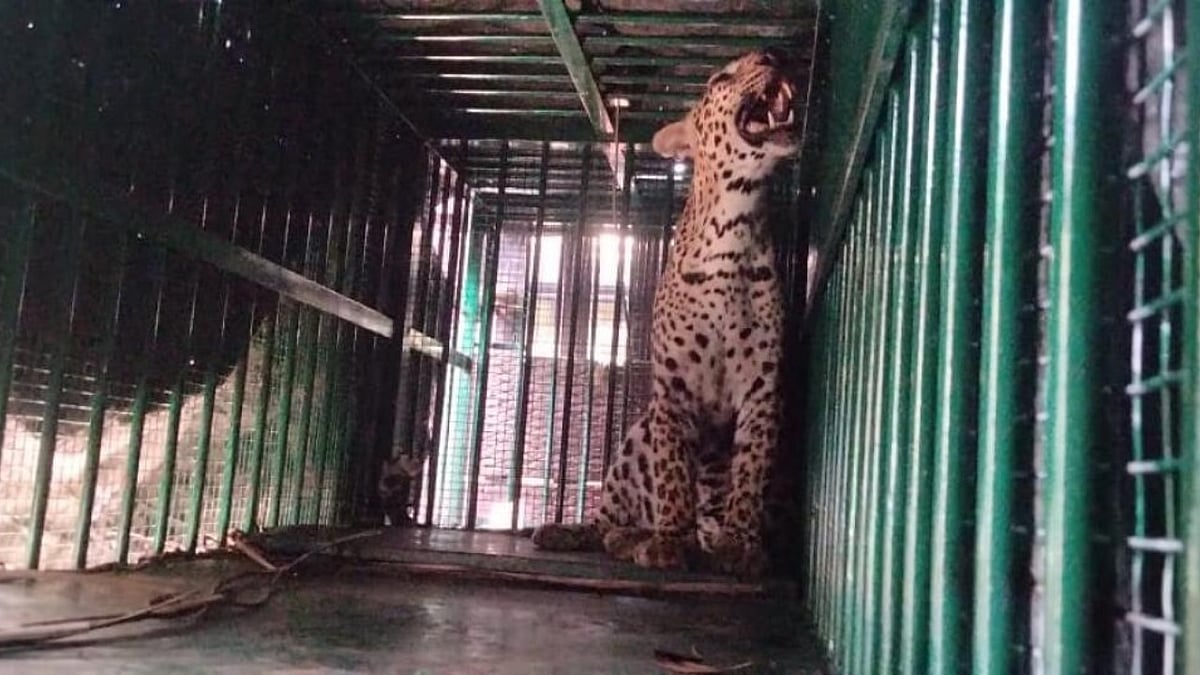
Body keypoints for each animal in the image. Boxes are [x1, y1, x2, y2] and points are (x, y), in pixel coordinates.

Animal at [531, 49, 798, 578]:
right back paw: (598, 534)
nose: (773, 54)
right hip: (638, 432)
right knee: (604, 521)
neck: (735, 225)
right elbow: (673, 470)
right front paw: (670, 541)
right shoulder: (673, 387)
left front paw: (742, 544)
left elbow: (751, 469)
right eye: (721, 77)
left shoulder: (762, 384)